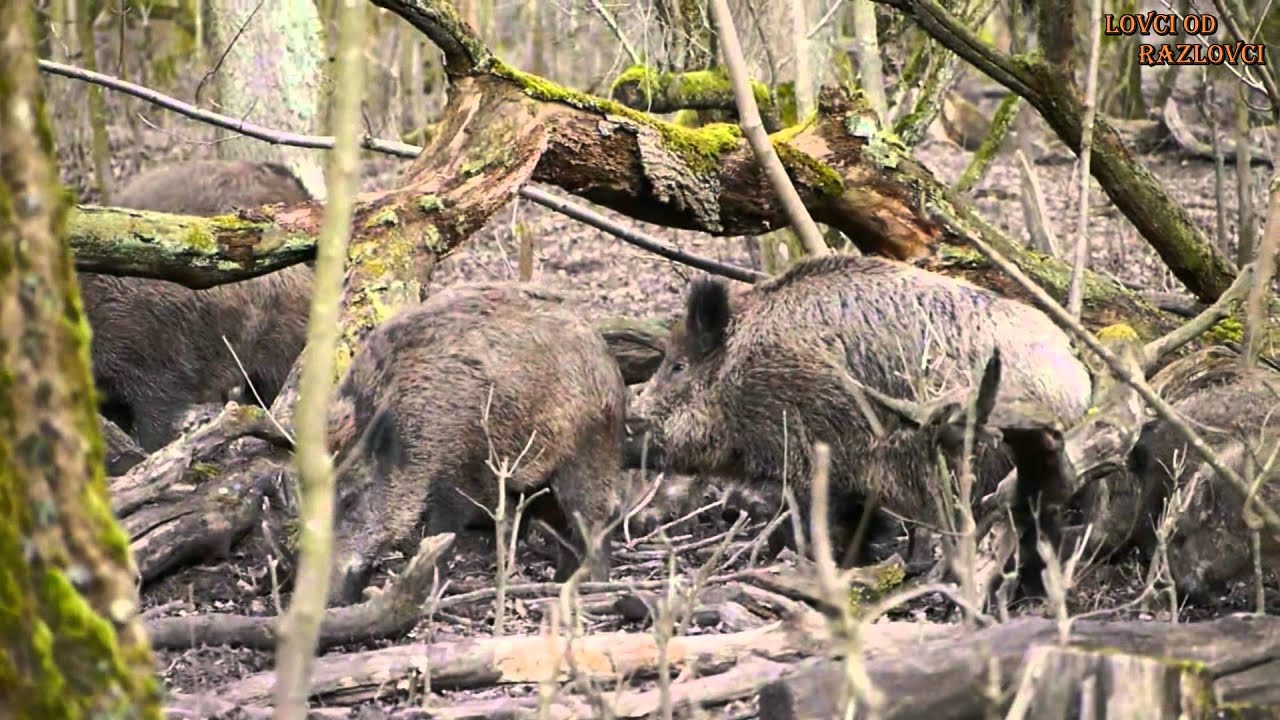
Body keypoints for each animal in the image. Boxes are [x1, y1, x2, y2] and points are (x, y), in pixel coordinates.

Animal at [326, 282, 628, 605]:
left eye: (351, 498)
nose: (331, 598)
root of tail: (611, 370)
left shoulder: (457, 477)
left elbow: (440, 537)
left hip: (585, 455)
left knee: (599, 517)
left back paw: (594, 586)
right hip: (541, 481)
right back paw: (560, 583)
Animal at [630, 254, 1094, 575]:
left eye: (678, 367)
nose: (632, 424)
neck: (740, 372)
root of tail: (1077, 381)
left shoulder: (819, 455)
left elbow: (815, 518)